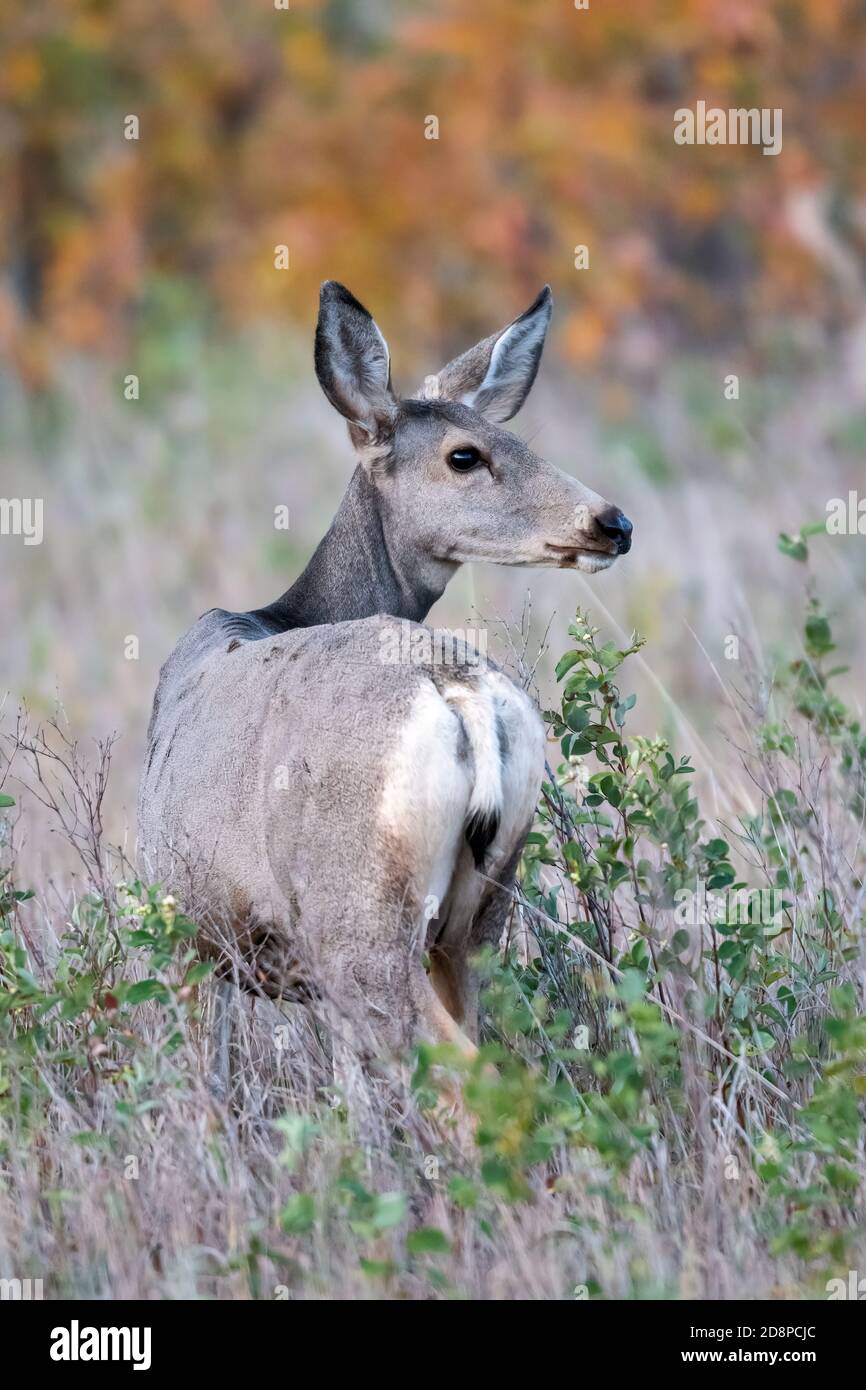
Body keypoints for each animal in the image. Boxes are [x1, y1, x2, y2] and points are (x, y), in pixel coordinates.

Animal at [137, 281, 632, 1105]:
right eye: (467, 454)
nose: (613, 522)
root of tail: (456, 688)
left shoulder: (184, 927)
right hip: (480, 916)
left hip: (357, 922)